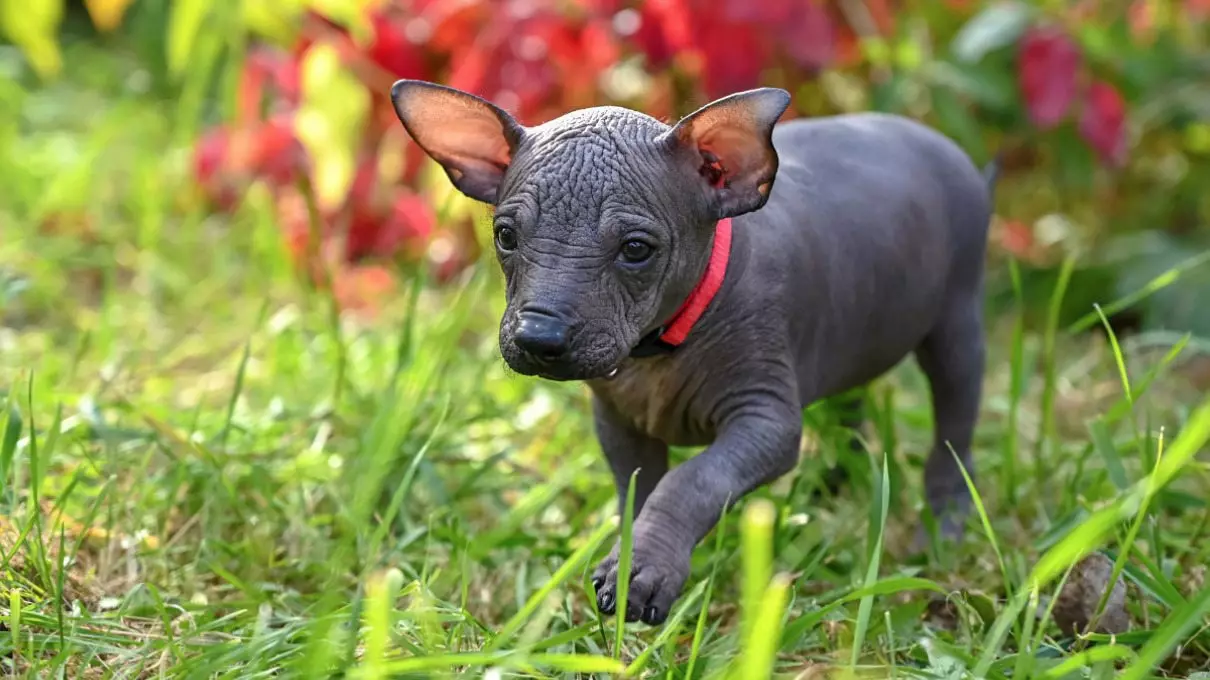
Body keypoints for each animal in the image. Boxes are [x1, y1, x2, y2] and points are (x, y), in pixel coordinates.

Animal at [392, 76, 997, 624]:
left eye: (637, 249)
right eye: (505, 236)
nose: (538, 338)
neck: (661, 346)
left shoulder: (765, 421)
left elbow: (693, 480)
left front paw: (646, 571)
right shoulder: (617, 420)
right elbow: (638, 491)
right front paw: (628, 557)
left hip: (959, 315)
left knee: (955, 425)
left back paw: (943, 526)